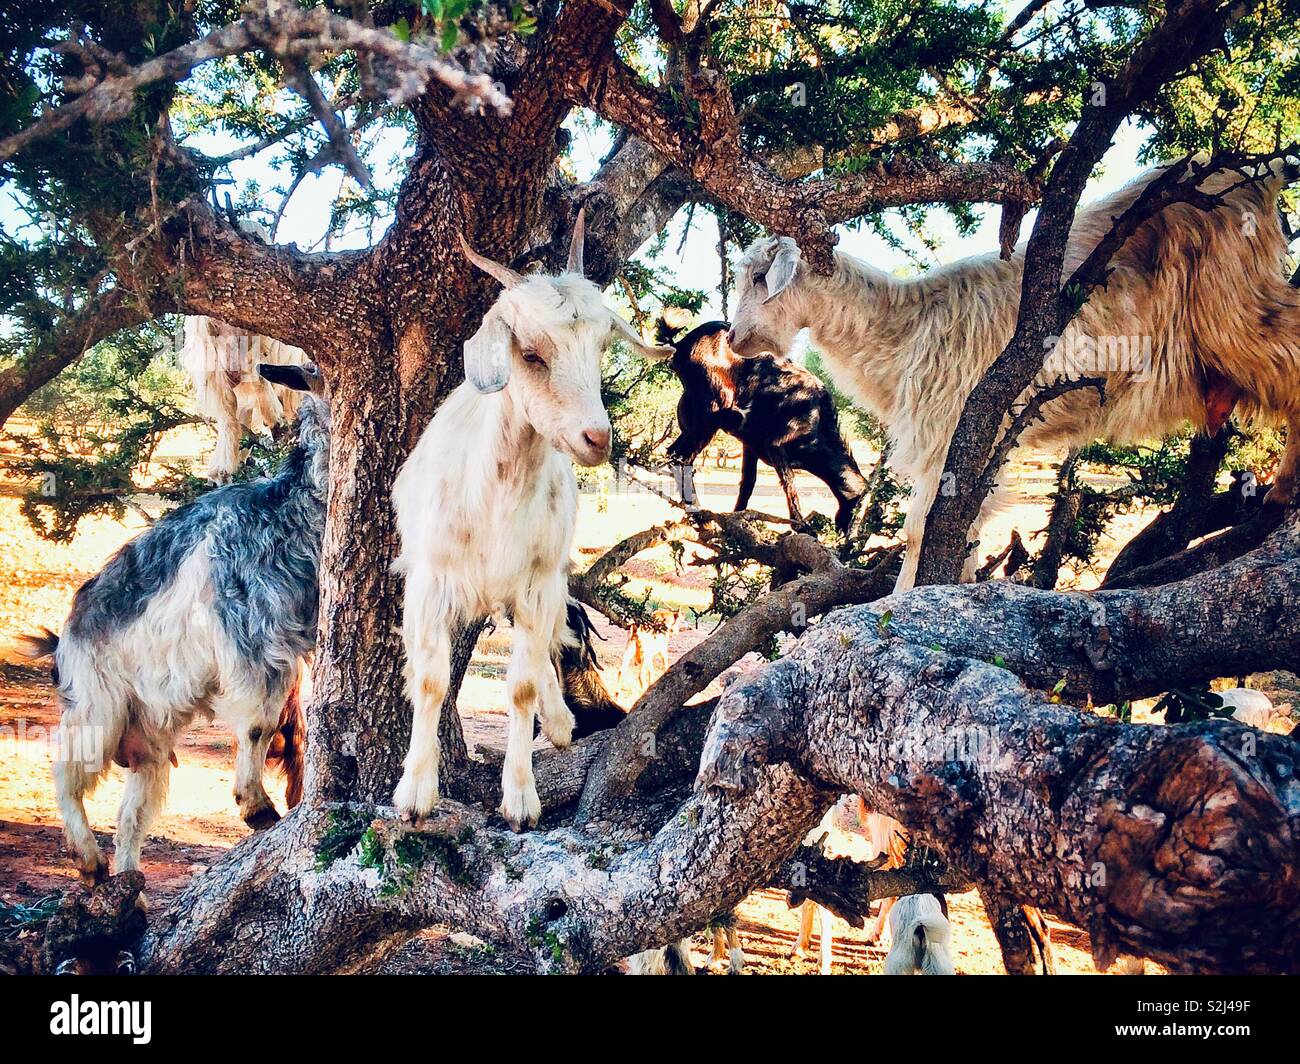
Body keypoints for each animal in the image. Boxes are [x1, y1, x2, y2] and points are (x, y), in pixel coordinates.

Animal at [19, 363, 328, 885]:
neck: (286, 512)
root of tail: (65, 636)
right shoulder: (253, 647)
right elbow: (257, 725)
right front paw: (257, 806)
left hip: (148, 742)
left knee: (130, 819)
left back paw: (130, 889)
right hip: (98, 708)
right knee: (66, 772)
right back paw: (87, 858)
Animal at [392, 212, 673, 830]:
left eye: (601, 347)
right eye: (531, 352)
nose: (597, 438)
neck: (498, 493)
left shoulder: (539, 581)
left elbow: (521, 686)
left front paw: (520, 798)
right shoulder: (431, 581)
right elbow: (430, 680)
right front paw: (415, 791)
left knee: (546, 646)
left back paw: (563, 721)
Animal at [648, 314, 867, 533]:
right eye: (858, 509)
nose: (847, 535)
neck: (818, 420)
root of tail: (682, 345)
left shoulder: (750, 446)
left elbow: (748, 482)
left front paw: (738, 518)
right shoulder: (776, 444)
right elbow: (789, 483)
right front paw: (801, 525)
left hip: (691, 422)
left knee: (673, 454)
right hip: (708, 416)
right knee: (682, 460)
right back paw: (700, 516)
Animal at [730, 156, 1300, 589]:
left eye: (760, 277)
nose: (734, 338)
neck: (906, 323)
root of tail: (1262, 175)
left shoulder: (949, 435)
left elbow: (920, 530)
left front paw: (906, 597)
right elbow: (959, 533)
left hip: (1235, 306)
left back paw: (1284, 488)